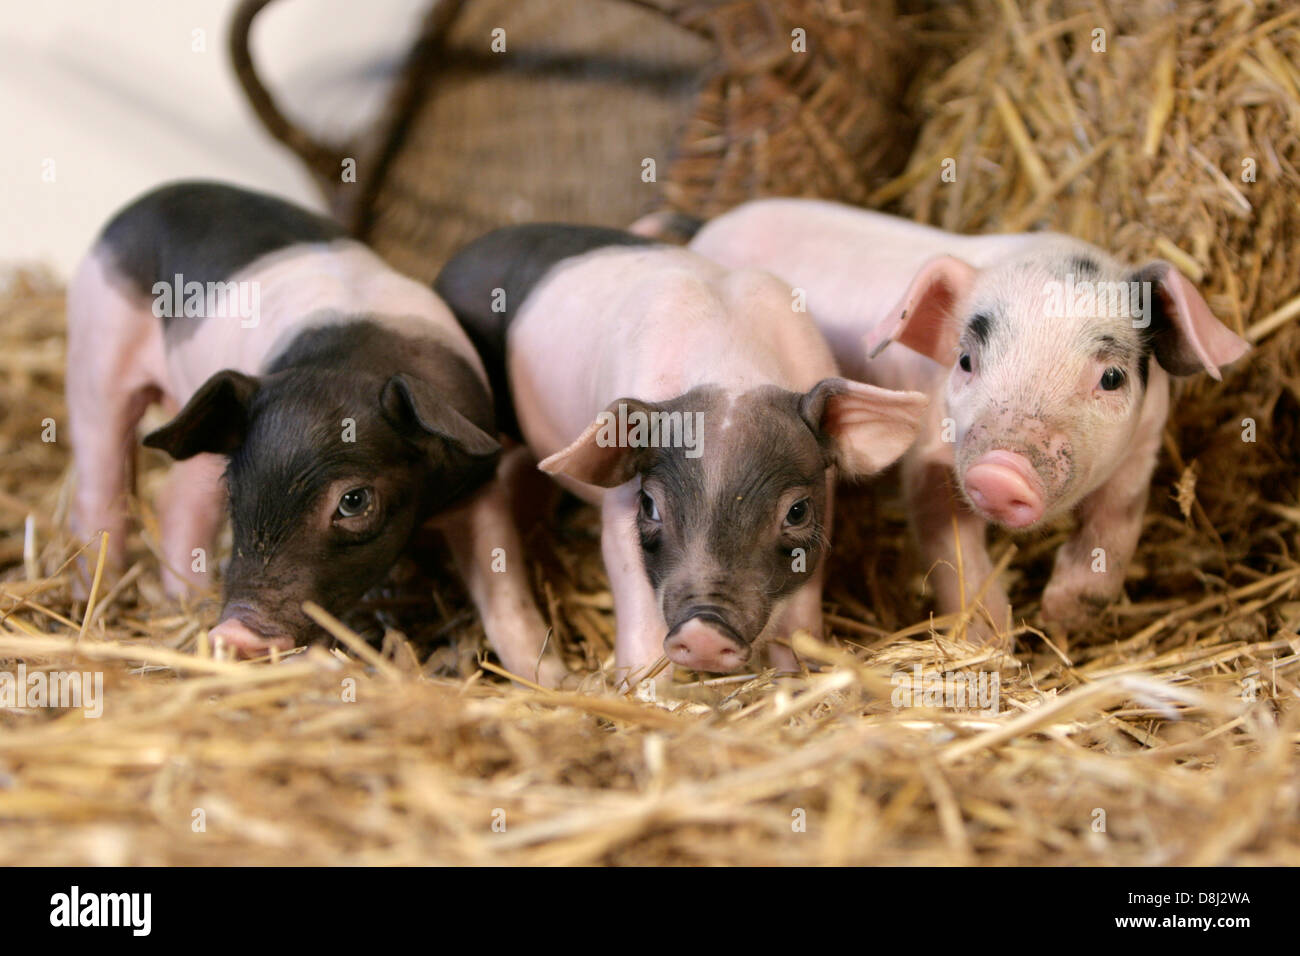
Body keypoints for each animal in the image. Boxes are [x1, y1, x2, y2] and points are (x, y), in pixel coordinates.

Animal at [65, 180, 561, 676]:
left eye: (354, 500)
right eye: (235, 493)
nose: (234, 633)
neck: (343, 363)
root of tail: (147, 200)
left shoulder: (477, 483)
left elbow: (504, 587)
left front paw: (552, 677)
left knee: (174, 501)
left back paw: (185, 598)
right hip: (97, 348)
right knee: (100, 481)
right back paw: (95, 596)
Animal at [434, 224, 928, 686]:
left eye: (798, 511)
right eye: (650, 504)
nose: (704, 630)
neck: (732, 372)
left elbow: (800, 615)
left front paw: (798, 677)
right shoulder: (619, 514)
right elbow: (636, 607)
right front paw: (642, 690)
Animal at [685, 198, 1250, 639]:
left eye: (1111, 377)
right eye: (964, 361)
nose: (1001, 470)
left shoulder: (1143, 447)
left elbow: (1116, 526)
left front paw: (1062, 616)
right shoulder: (928, 454)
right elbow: (949, 544)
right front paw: (993, 641)